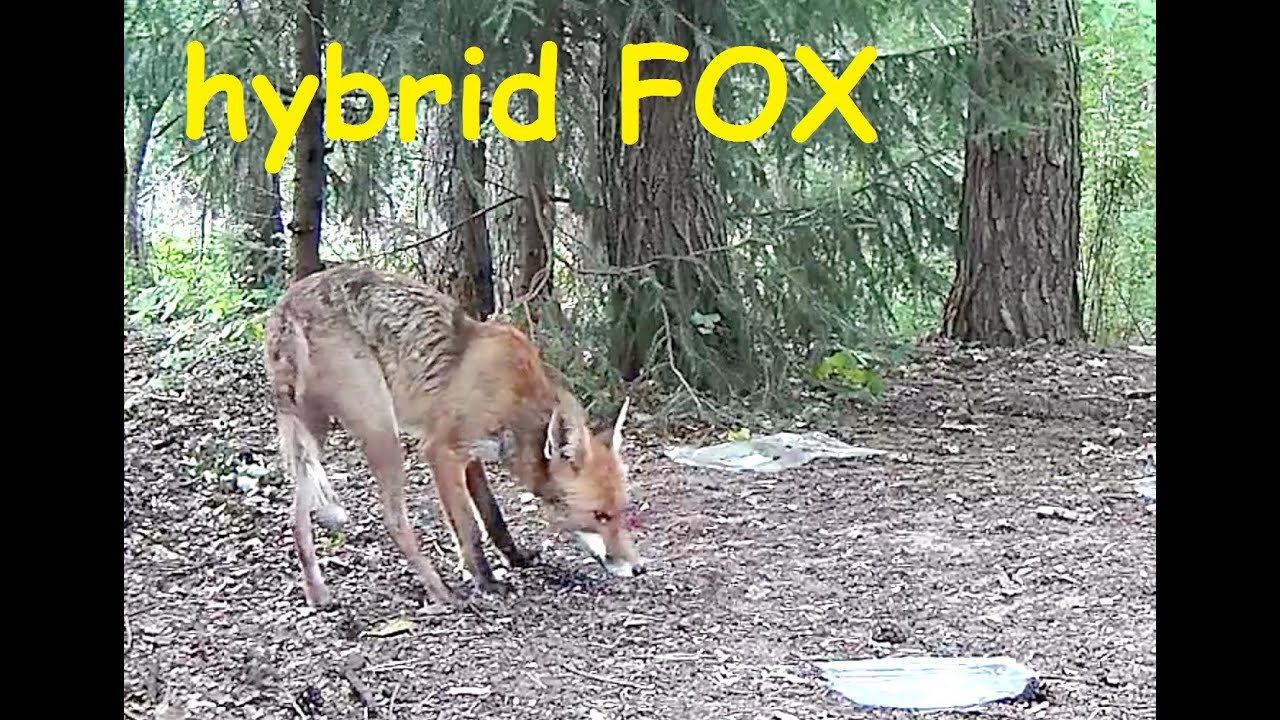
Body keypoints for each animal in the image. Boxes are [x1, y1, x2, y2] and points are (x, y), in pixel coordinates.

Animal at [263, 263, 645, 609]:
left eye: (622, 511)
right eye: (599, 515)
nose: (638, 568)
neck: (515, 397)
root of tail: (287, 305)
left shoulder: (472, 455)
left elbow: (492, 517)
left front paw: (514, 558)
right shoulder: (441, 451)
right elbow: (470, 527)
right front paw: (486, 581)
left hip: (317, 433)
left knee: (296, 519)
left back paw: (317, 594)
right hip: (381, 430)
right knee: (393, 521)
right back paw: (441, 592)